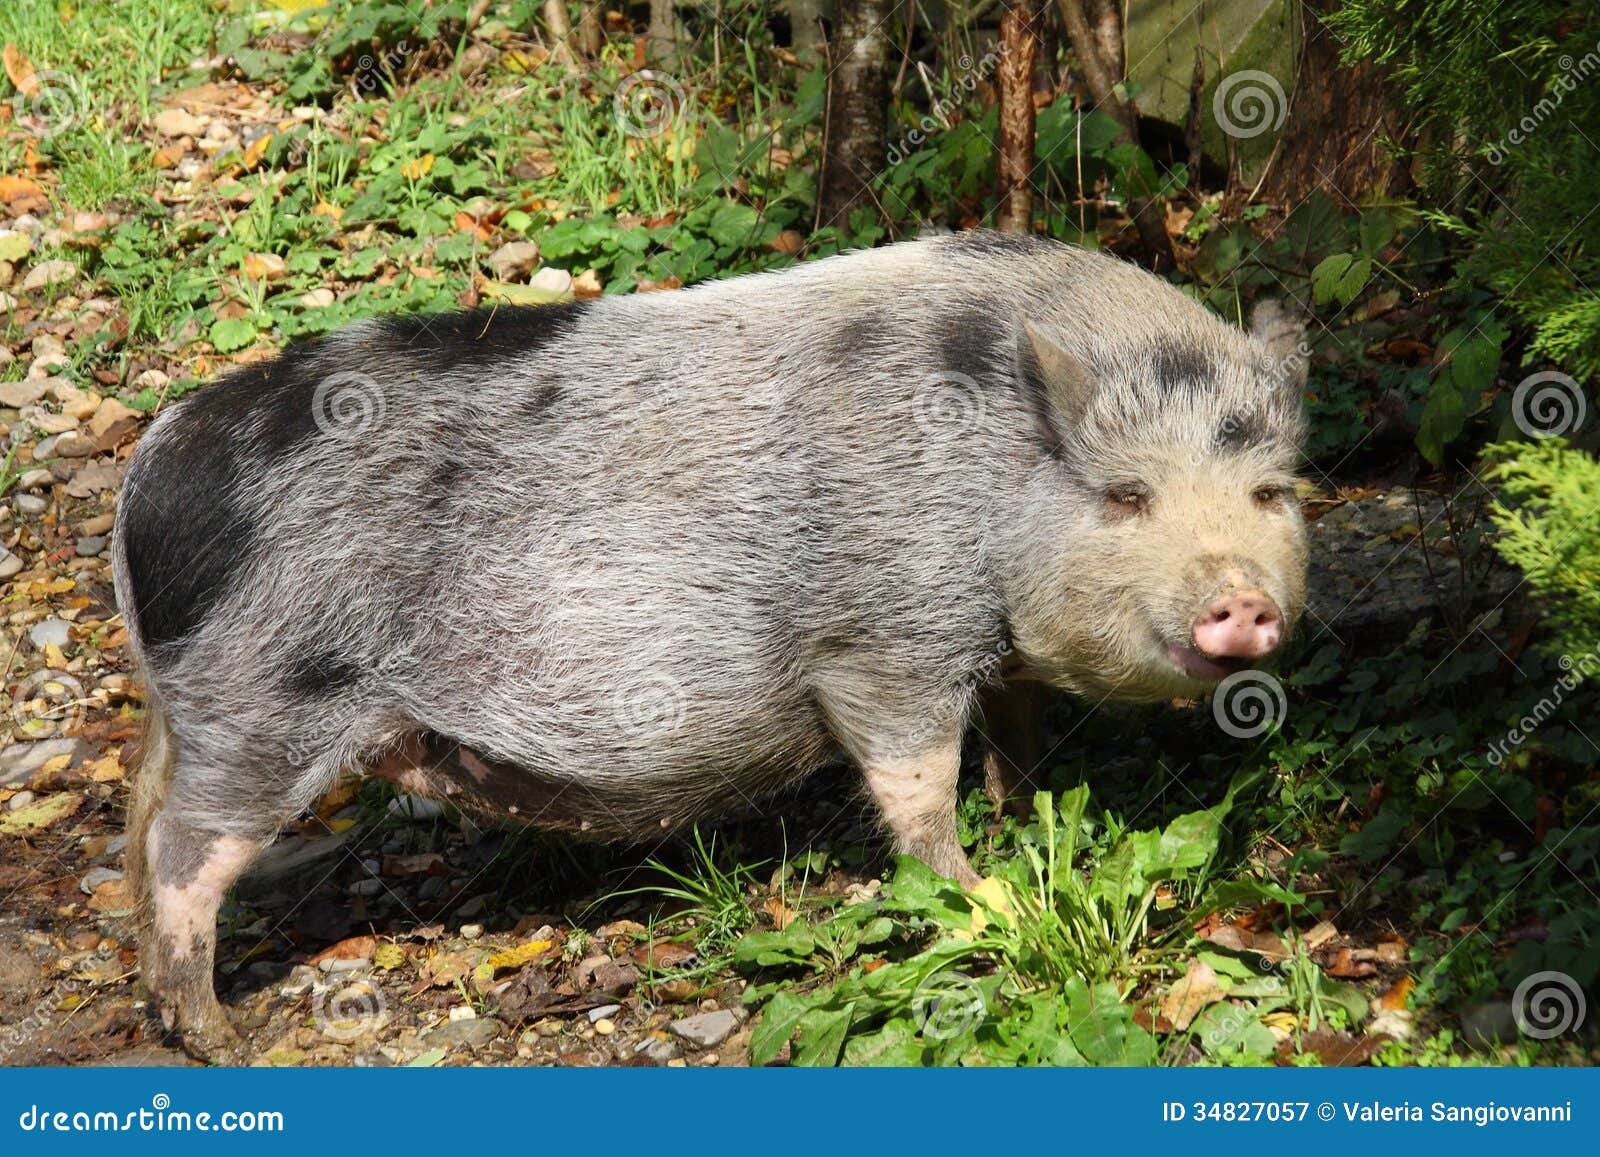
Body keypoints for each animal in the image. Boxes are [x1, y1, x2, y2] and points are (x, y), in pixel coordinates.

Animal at [112, 231, 1309, 1059]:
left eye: (1270, 492)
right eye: (1125, 496)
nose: (1242, 603)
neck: (992, 479)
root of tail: (148, 471)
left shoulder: (990, 646)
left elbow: (1015, 725)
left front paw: (1029, 814)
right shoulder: (882, 640)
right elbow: (915, 785)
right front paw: (988, 897)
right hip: (264, 697)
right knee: (183, 851)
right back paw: (217, 1037)